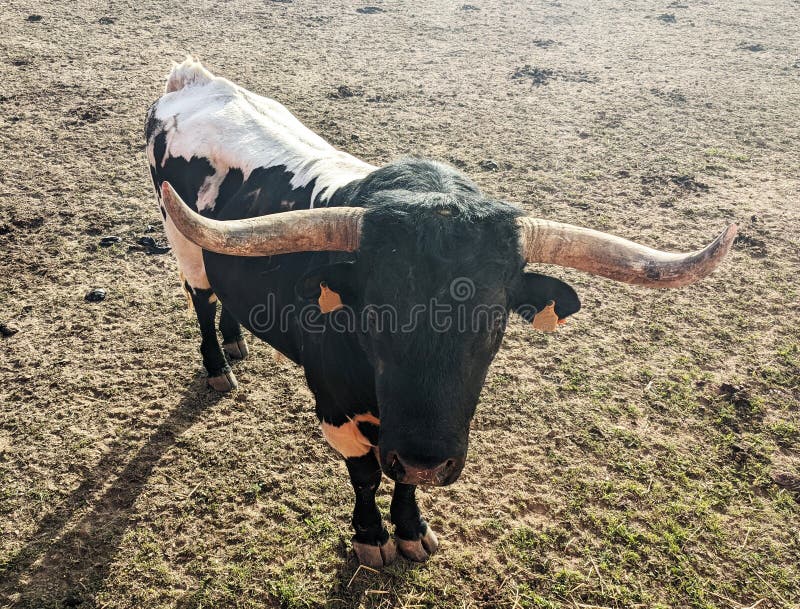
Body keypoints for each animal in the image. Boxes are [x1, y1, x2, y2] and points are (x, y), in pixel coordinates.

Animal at [145, 58, 736, 567]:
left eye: (495, 321)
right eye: (372, 315)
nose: (428, 458)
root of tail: (192, 79)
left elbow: (403, 480)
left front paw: (411, 530)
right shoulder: (335, 407)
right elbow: (365, 474)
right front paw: (370, 538)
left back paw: (239, 340)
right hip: (184, 244)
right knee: (201, 298)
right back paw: (219, 366)